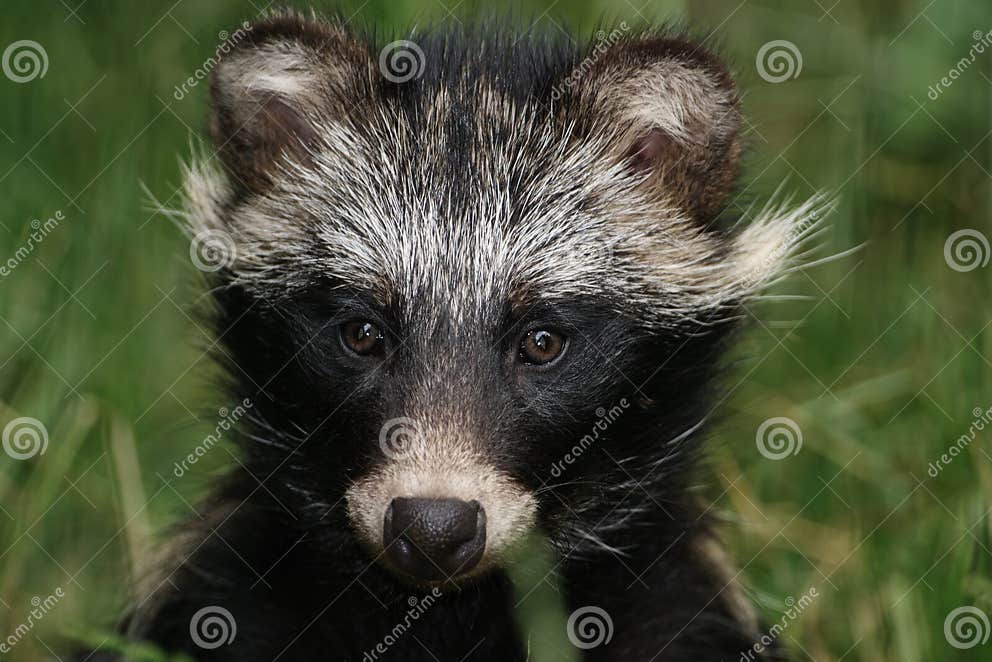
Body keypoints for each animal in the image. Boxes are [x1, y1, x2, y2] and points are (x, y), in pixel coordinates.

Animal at [96, 10, 826, 662]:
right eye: (361, 333)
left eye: (542, 342)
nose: (432, 528)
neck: (446, 613)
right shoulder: (225, 596)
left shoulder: (680, 608)